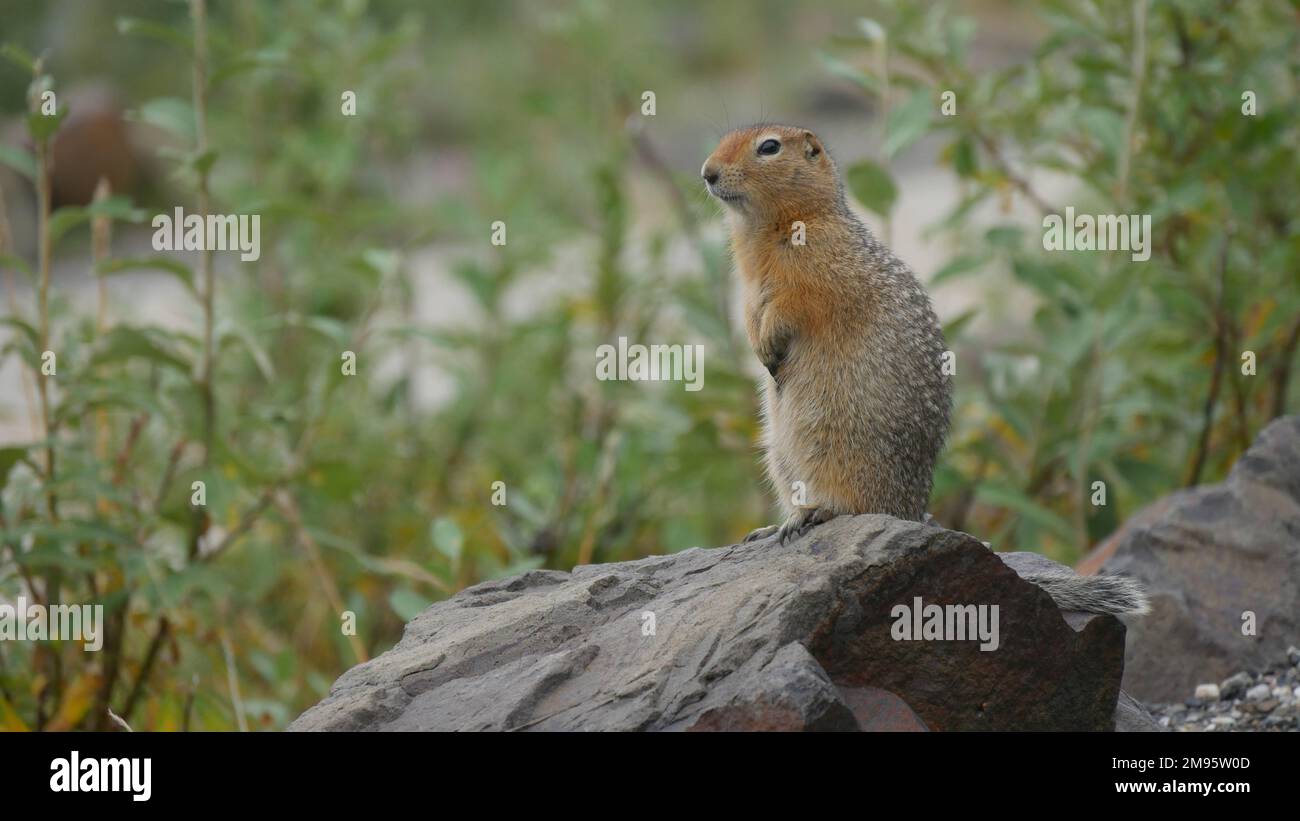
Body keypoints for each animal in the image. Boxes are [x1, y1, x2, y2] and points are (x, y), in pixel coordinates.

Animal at [702, 124, 1148, 616]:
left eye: (769, 147)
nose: (707, 173)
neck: (768, 228)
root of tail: (912, 511)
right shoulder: (748, 285)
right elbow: (750, 311)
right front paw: (759, 347)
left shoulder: (818, 270)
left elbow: (794, 305)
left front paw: (770, 344)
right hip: (780, 457)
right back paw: (771, 527)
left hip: (832, 447)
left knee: (857, 506)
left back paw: (812, 514)